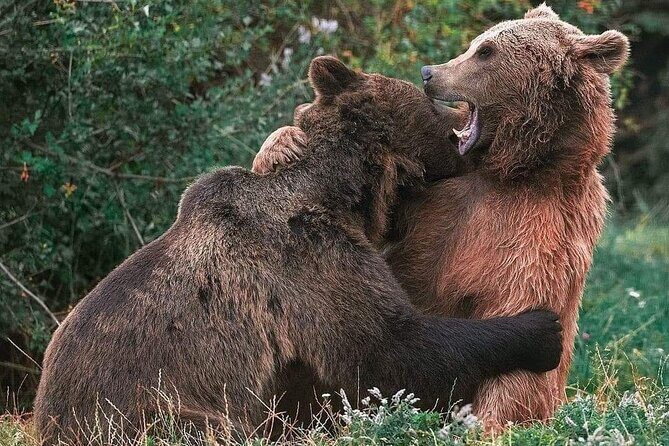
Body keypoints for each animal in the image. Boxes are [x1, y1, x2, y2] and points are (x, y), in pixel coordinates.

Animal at [33, 56, 563, 445]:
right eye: (433, 106)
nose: (439, 92)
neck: (336, 194)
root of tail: (45, 418)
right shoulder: (306, 259)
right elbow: (386, 349)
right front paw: (541, 328)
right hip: (155, 412)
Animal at [253, 4, 629, 431]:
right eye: (477, 43)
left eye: (486, 51)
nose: (429, 72)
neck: (512, 170)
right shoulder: (435, 191)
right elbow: (383, 216)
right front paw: (281, 145)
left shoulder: (544, 228)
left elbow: (518, 323)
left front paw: (489, 423)